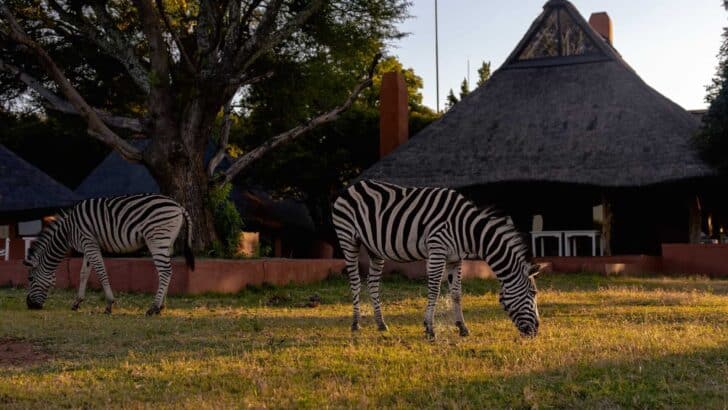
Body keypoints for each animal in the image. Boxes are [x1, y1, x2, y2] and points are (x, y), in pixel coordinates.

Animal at [24, 194, 195, 315]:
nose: (29, 305)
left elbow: (101, 272)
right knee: (166, 272)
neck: (67, 232)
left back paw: (153, 308)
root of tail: (178, 206)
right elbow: (83, 273)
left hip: (156, 239)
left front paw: (109, 305)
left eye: (30, 279)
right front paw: (77, 302)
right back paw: (161, 306)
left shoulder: (89, 243)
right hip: (167, 242)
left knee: (165, 271)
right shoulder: (88, 246)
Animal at [332, 179, 540, 340]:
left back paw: (381, 323)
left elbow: (456, 293)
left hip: (374, 249)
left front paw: (462, 327)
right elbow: (434, 290)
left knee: (373, 283)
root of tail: (351, 186)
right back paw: (355, 324)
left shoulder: (455, 259)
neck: (466, 229)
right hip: (348, 239)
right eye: (533, 293)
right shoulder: (437, 249)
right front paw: (429, 328)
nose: (536, 330)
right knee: (355, 282)